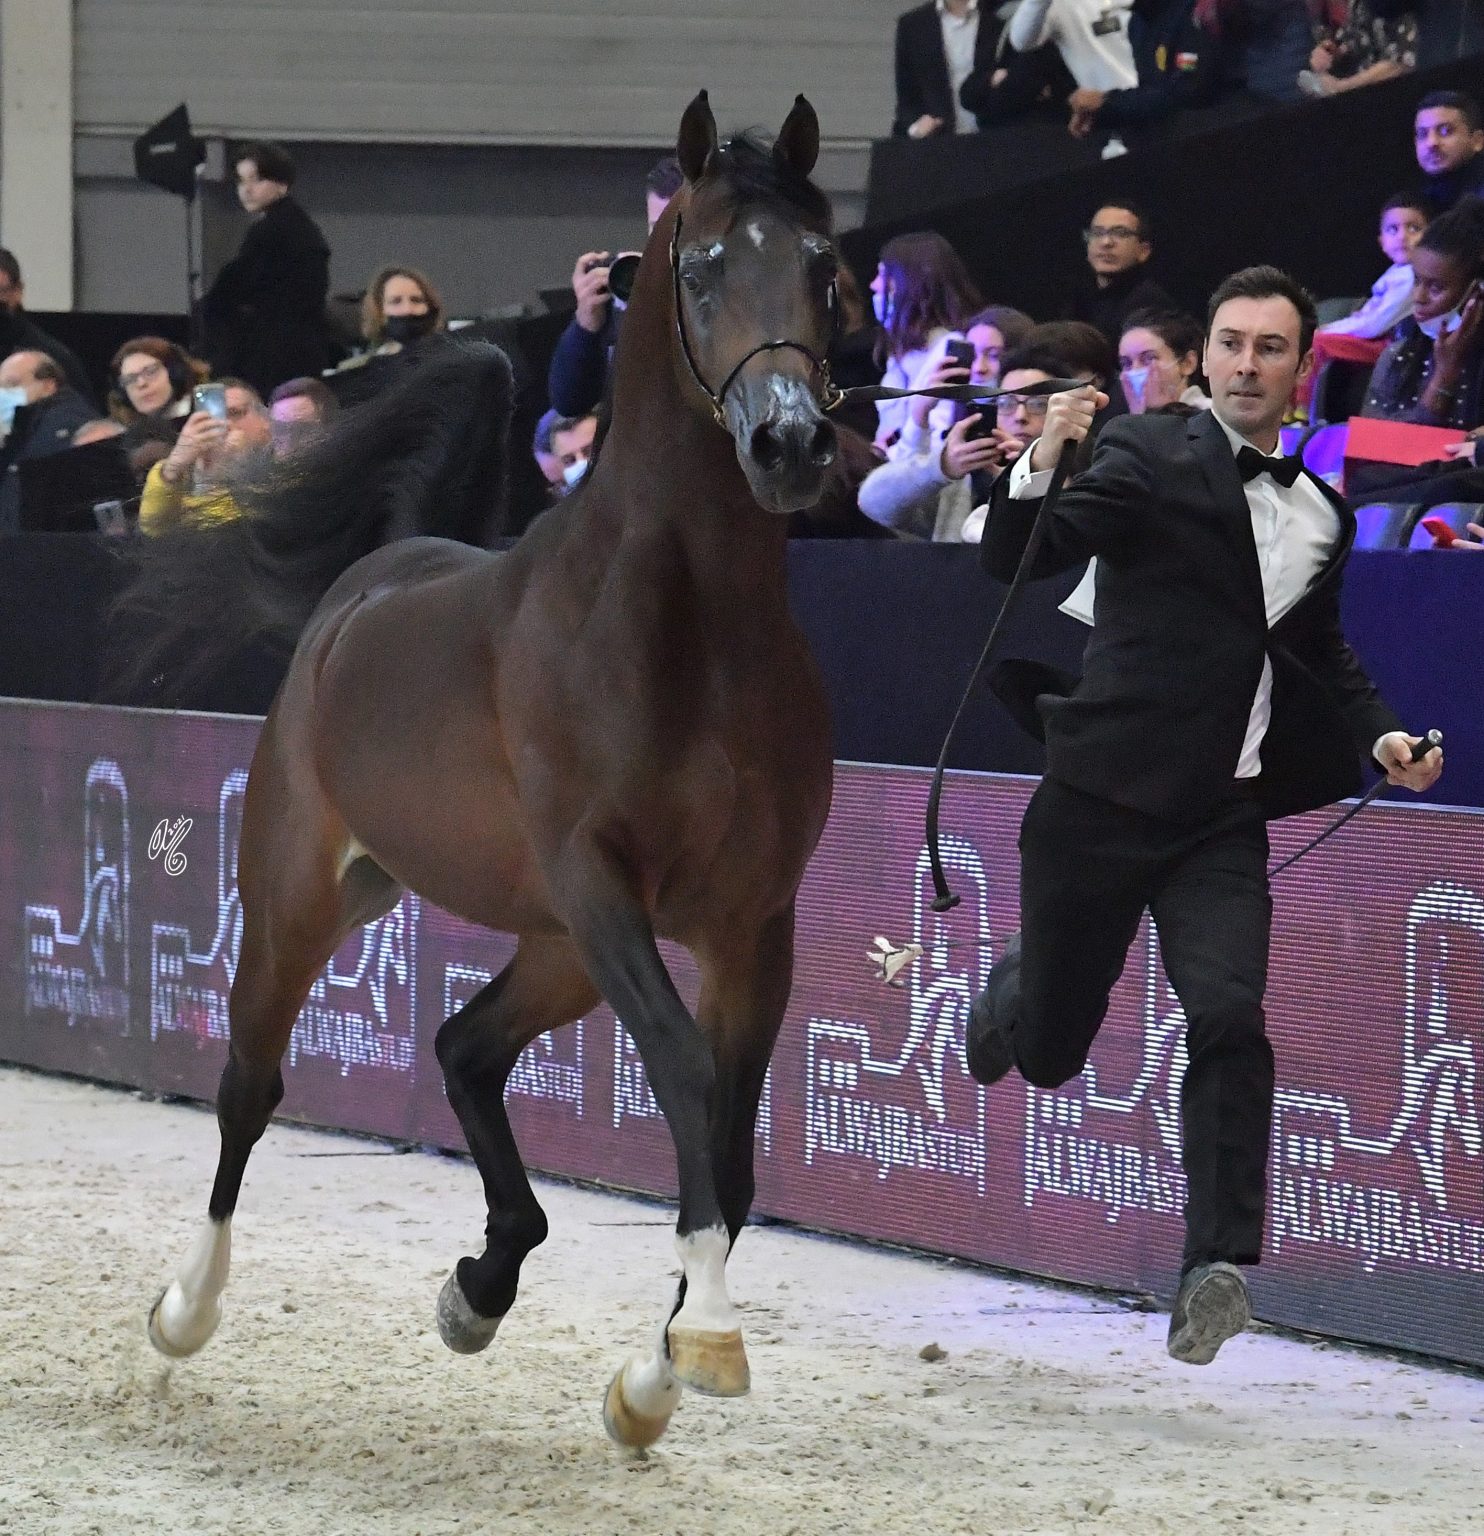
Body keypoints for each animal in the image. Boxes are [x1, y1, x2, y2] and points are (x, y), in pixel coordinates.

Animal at [142, 91, 840, 1451]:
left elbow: (733, 1148)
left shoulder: (750, 923)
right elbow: (683, 1077)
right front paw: (706, 1338)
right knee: (250, 1082)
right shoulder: (603, 885)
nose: (786, 443)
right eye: (701, 266)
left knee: (463, 1047)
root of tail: (364, 587)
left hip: (555, 949)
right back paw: (185, 1310)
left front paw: (649, 1383)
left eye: (823, 265)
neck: (689, 631)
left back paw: (481, 1284)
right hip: (303, 899)